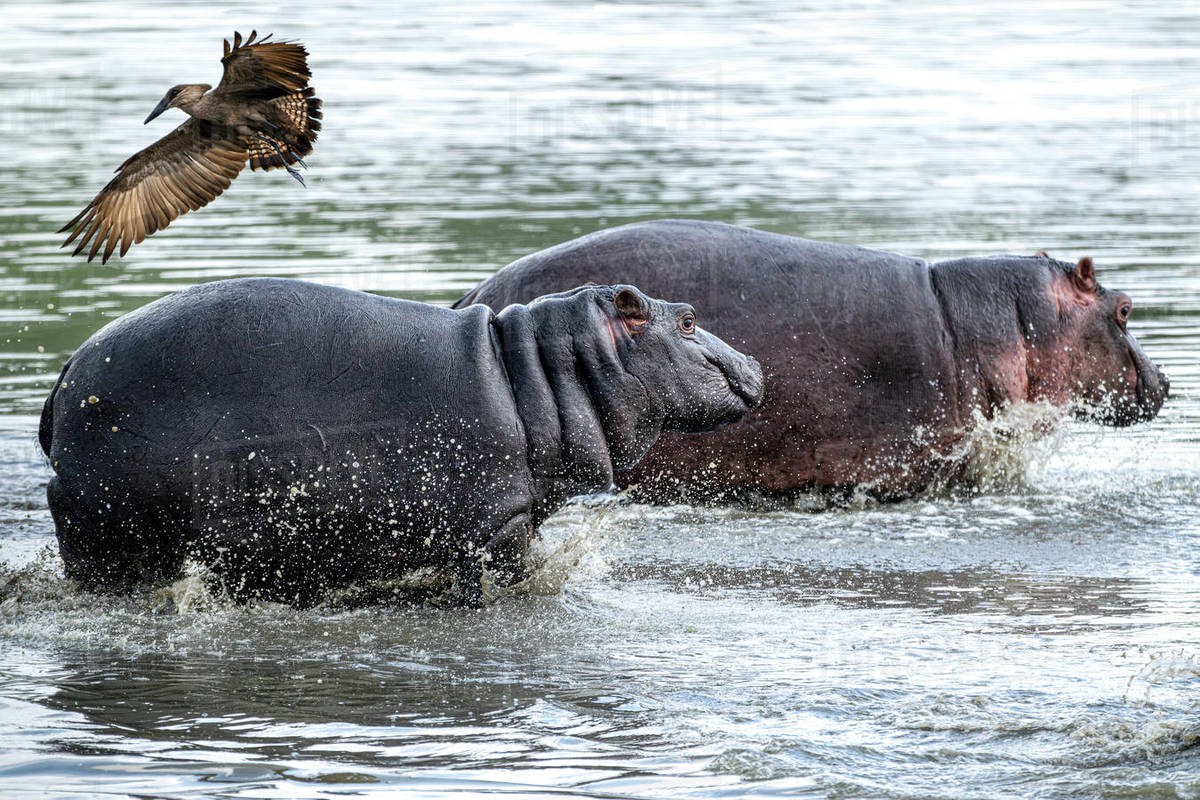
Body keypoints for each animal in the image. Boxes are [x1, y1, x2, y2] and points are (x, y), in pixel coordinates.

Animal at [39, 278, 763, 604]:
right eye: (688, 320)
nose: (757, 362)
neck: (544, 367)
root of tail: (67, 375)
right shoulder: (499, 523)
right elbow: (509, 576)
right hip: (107, 524)